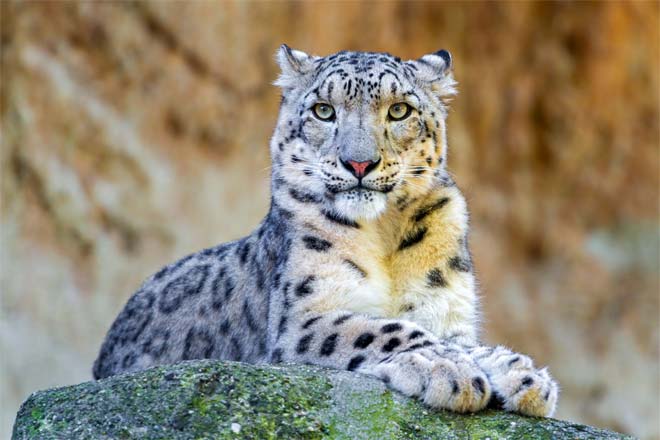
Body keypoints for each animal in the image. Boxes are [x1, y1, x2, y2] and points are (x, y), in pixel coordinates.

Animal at [93, 45, 559, 417]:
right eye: (323, 110)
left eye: (399, 110)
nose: (359, 163)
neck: (384, 235)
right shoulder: (302, 319)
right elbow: (385, 329)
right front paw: (448, 369)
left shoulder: (445, 311)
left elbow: (460, 340)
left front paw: (522, 374)